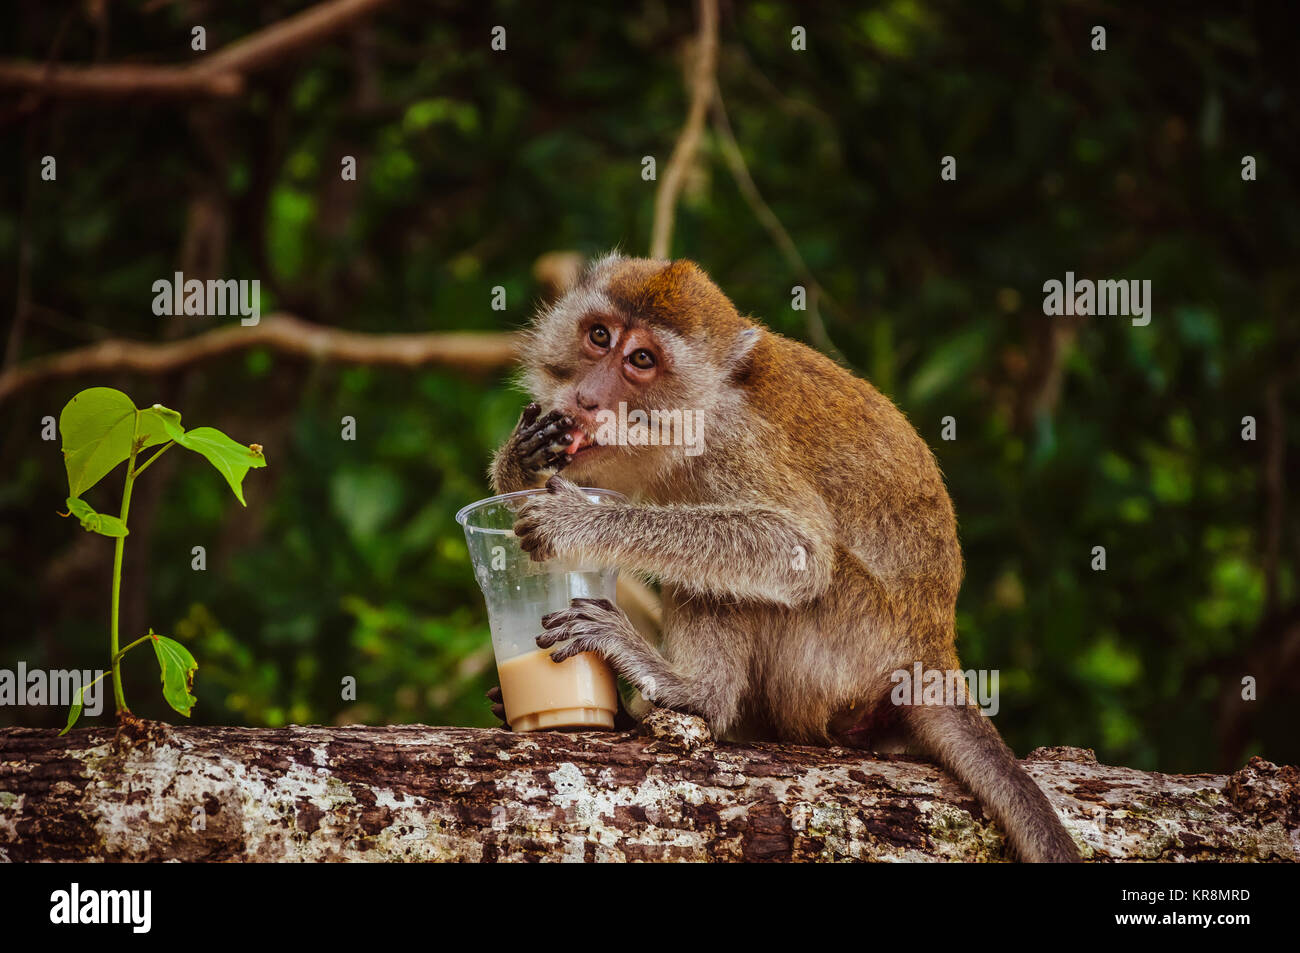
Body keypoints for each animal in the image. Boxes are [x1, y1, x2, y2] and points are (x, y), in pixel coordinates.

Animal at [485, 252, 1080, 863]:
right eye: (599, 336)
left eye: (642, 360)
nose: (586, 398)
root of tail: (931, 649)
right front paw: (524, 459)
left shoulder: (731, 442)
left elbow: (797, 551)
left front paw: (578, 524)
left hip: (845, 644)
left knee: (730, 579)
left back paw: (693, 693)